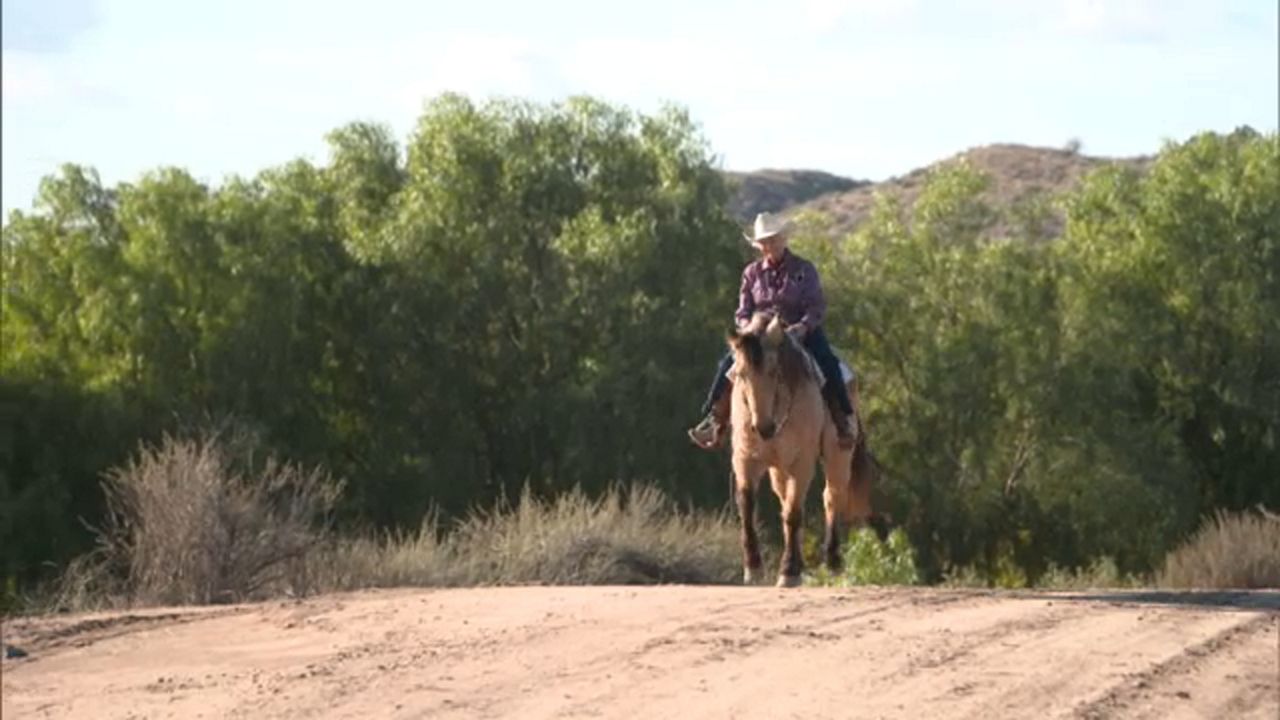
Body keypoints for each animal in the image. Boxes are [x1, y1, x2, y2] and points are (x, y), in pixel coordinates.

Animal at [726, 312, 875, 587]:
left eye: (774, 371)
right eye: (740, 374)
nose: (763, 428)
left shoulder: (802, 463)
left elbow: (794, 512)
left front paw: (789, 572)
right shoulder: (745, 460)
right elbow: (748, 505)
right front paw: (753, 567)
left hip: (838, 457)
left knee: (831, 497)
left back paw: (833, 561)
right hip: (778, 469)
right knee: (785, 500)